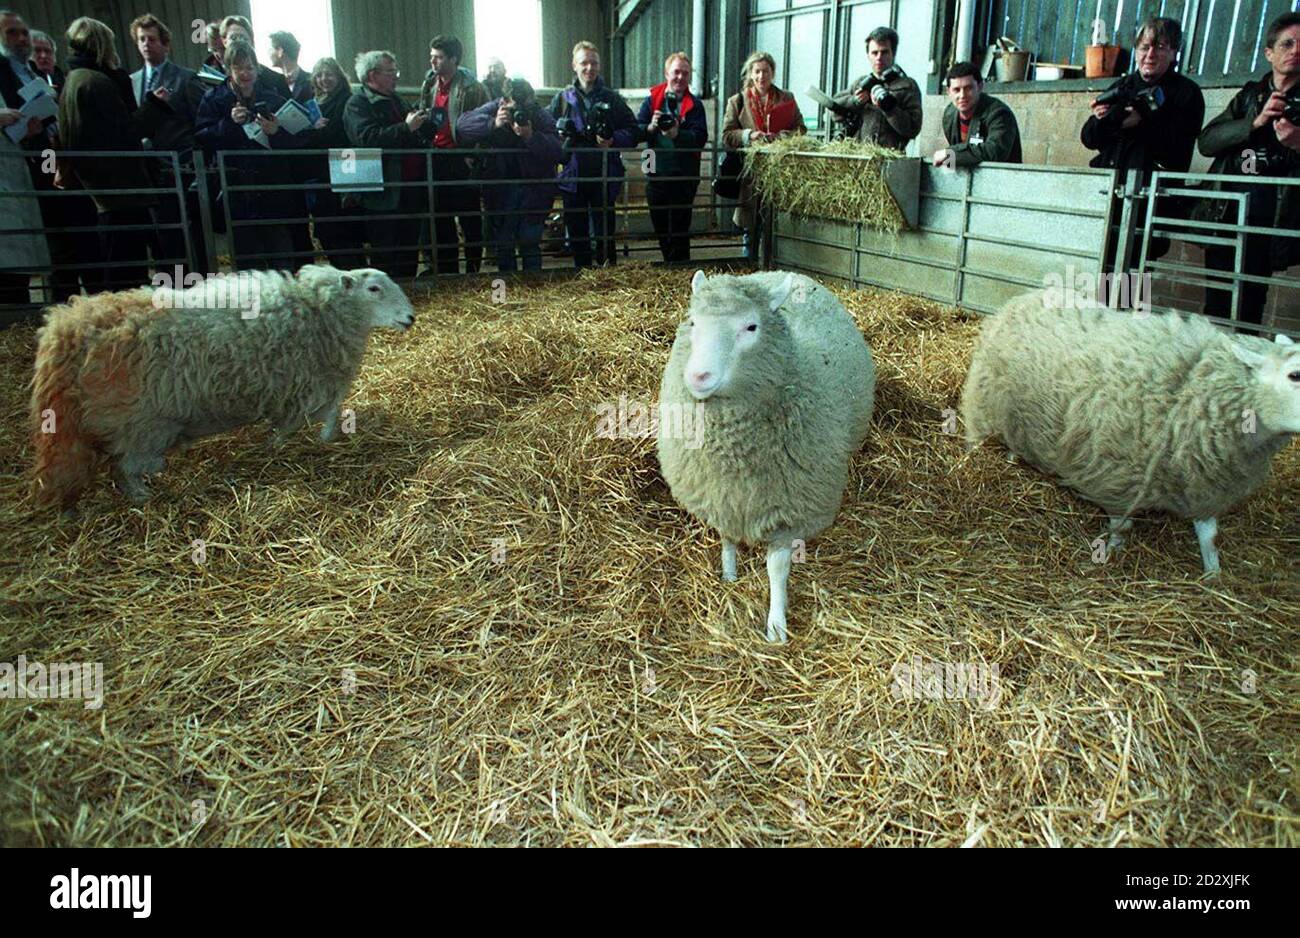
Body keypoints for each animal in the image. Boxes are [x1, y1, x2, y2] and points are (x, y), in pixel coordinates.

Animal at [31, 265, 415, 509]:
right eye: (374, 288)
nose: (411, 318)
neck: (321, 312)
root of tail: (68, 331)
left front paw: (281, 443)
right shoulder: (307, 382)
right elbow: (322, 414)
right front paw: (313, 440)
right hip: (139, 422)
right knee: (124, 467)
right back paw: (143, 493)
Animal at [657, 269, 875, 642]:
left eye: (751, 327)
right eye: (693, 322)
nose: (698, 376)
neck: (733, 451)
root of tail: (785, 273)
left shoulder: (791, 509)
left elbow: (777, 567)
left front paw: (776, 623)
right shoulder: (721, 493)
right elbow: (727, 538)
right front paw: (729, 574)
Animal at [959, 289, 1300, 574]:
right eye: (1294, 374)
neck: (1191, 384)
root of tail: (1024, 298)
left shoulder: (1206, 484)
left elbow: (1209, 537)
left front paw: (1213, 575)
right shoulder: (1116, 477)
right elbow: (1120, 527)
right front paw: (1109, 555)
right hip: (984, 409)